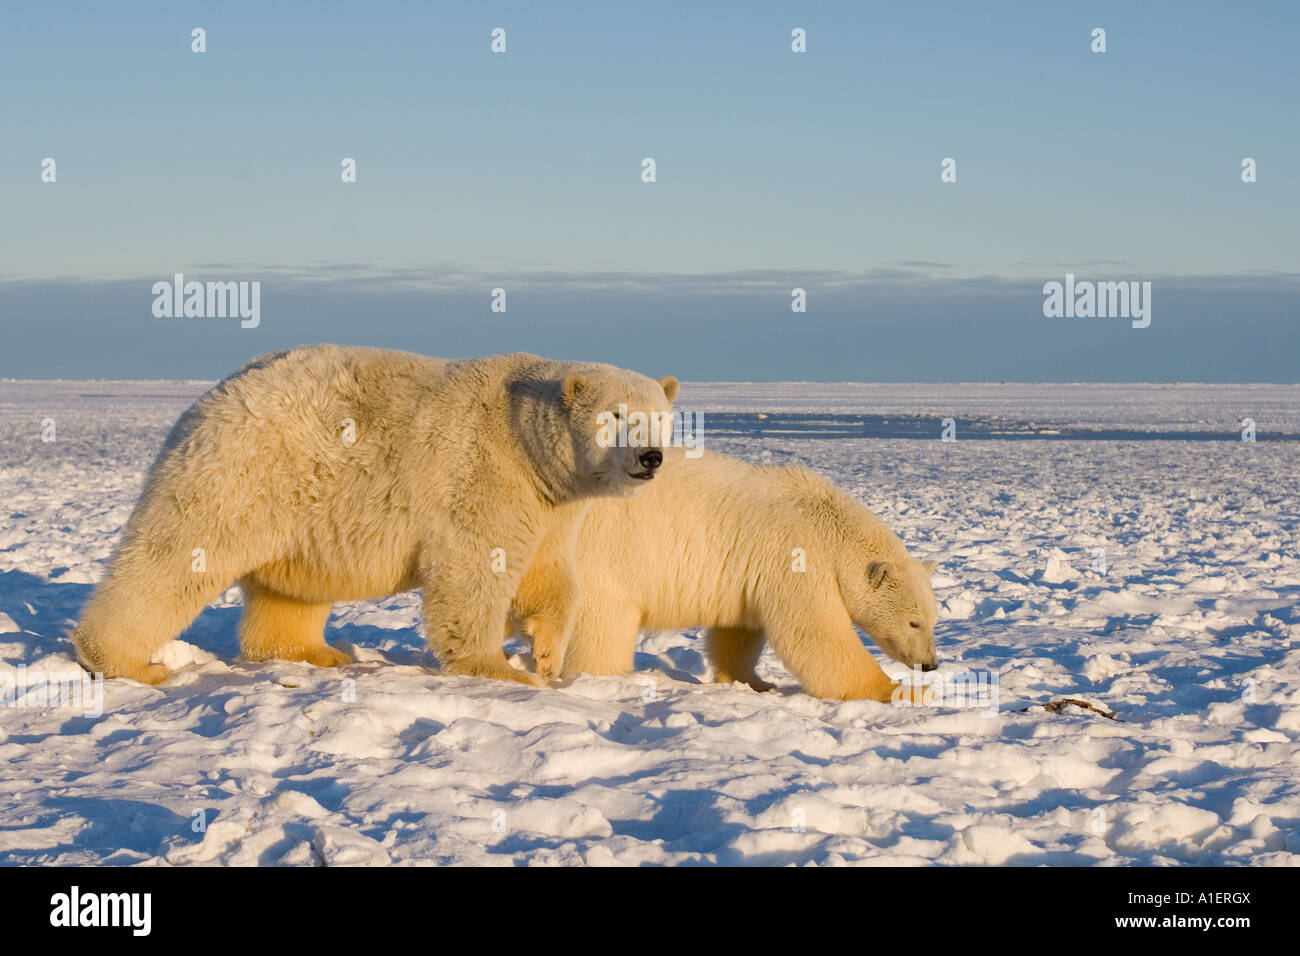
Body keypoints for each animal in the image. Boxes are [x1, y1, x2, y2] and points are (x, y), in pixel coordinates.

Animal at [72, 345, 679, 686]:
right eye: (616, 416)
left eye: (658, 417)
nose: (651, 457)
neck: (524, 439)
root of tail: (209, 397)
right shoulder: (483, 475)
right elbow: (473, 571)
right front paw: (498, 668)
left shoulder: (549, 504)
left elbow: (547, 574)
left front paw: (548, 656)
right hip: (243, 471)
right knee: (175, 556)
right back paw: (127, 661)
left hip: (302, 502)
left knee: (292, 589)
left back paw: (319, 652)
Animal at [511, 446, 938, 701]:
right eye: (914, 622)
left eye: (934, 620)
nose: (930, 664)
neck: (827, 526)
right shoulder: (796, 556)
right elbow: (818, 636)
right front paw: (903, 691)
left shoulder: (752, 568)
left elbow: (739, 630)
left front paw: (753, 681)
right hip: (600, 555)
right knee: (603, 623)